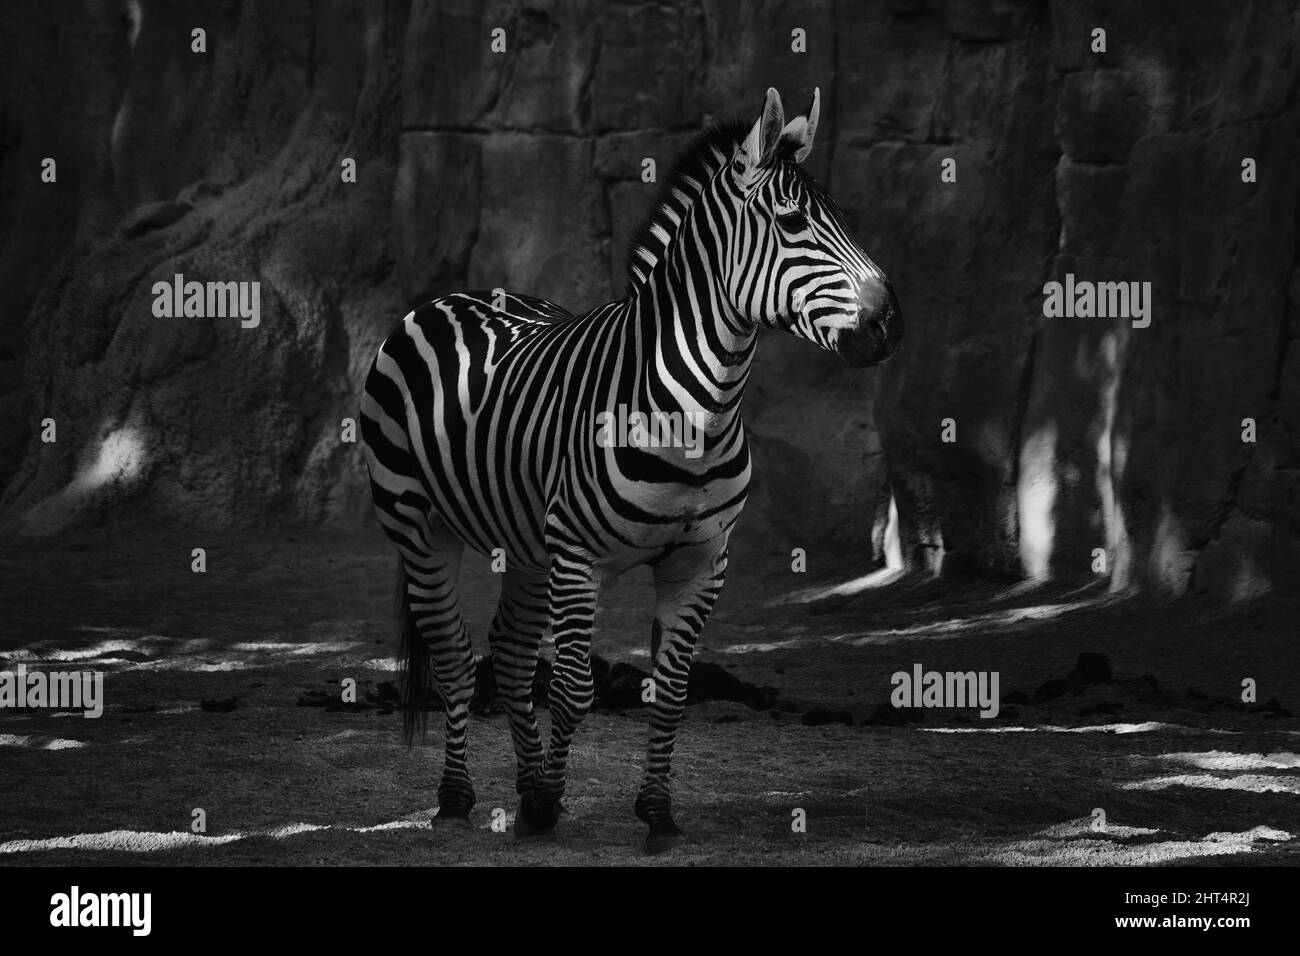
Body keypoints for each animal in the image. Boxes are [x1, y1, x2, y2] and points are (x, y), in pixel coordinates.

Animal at [360, 87, 902, 853]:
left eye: (844, 219)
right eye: (794, 222)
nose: (891, 325)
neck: (693, 409)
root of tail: (450, 296)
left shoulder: (700, 560)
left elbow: (671, 692)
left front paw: (653, 813)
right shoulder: (580, 558)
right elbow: (574, 690)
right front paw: (550, 805)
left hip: (528, 546)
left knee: (512, 653)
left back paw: (521, 789)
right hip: (420, 527)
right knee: (456, 658)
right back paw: (458, 799)